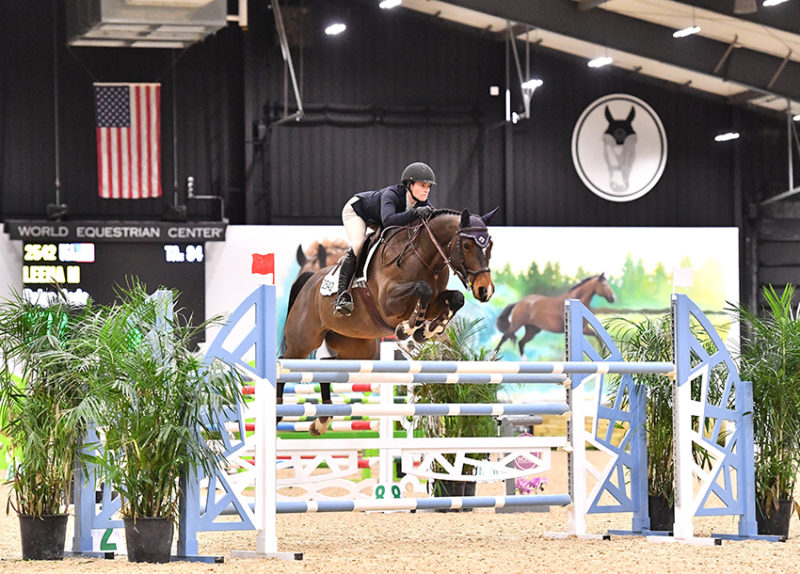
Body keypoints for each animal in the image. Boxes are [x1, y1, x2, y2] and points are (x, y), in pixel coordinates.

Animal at [282, 207, 498, 436]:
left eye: (490, 245)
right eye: (466, 246)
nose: (485, 290)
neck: (424, 256)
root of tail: (311, 279)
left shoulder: (434, 301)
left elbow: (455, 298)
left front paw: (427, 330)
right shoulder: (388, 303)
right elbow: (423, 289)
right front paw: (407, 328)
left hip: (356, 348)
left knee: (328, 367)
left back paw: (321, 422)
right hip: (302, 343)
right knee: (285, 363)